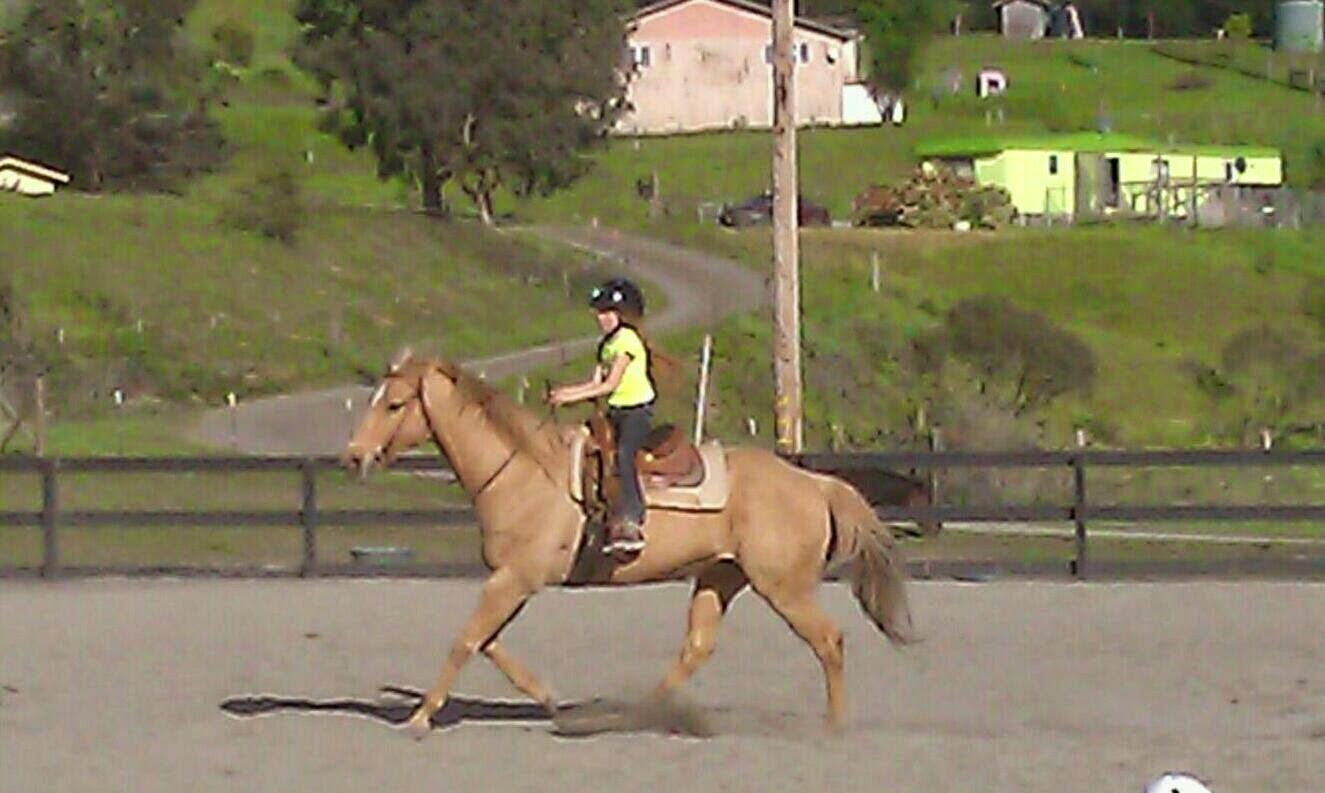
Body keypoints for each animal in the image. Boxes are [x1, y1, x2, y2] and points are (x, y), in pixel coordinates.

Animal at [341, 350, 915, 738]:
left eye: (394, 404)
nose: (353, 456)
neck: (525, 472)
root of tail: (813, 483)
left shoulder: (515, 579)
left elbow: (466, 641)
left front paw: (419, 718)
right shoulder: (513, 580)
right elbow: (489, 643)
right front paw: (554, 703)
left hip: (784, 587)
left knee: (828, 641)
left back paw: (834, 726)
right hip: (721, 576)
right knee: (697, 647)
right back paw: (637, 710)